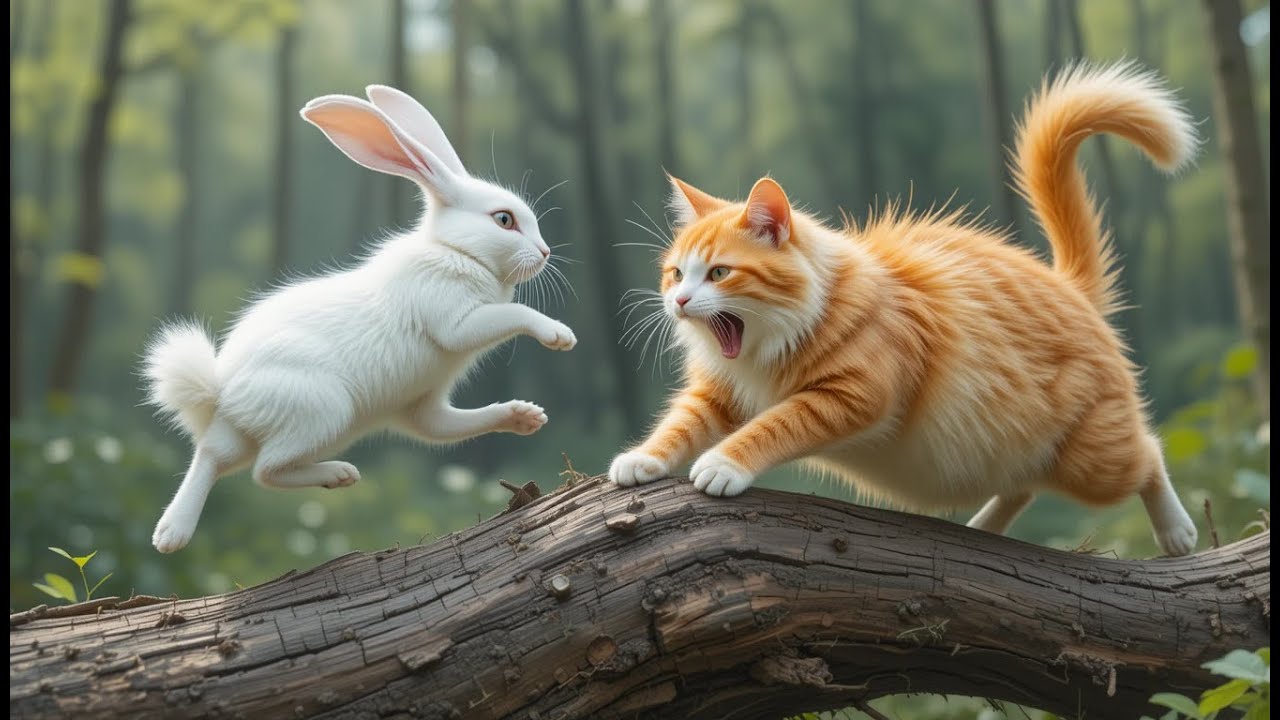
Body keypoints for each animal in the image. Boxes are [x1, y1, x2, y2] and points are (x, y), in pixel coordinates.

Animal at [143, 85, 576, 553]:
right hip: (326, 410)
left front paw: (532, 417)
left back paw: (170, 535)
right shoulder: (455, 321)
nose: (545, 253)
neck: (458, 251)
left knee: (215, 459)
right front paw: (559, 335)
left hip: (398, 405)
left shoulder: (427, 398)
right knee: (265, 471)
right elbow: (513, 312)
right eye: (504, 219)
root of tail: (220, 395)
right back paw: (339, 474)